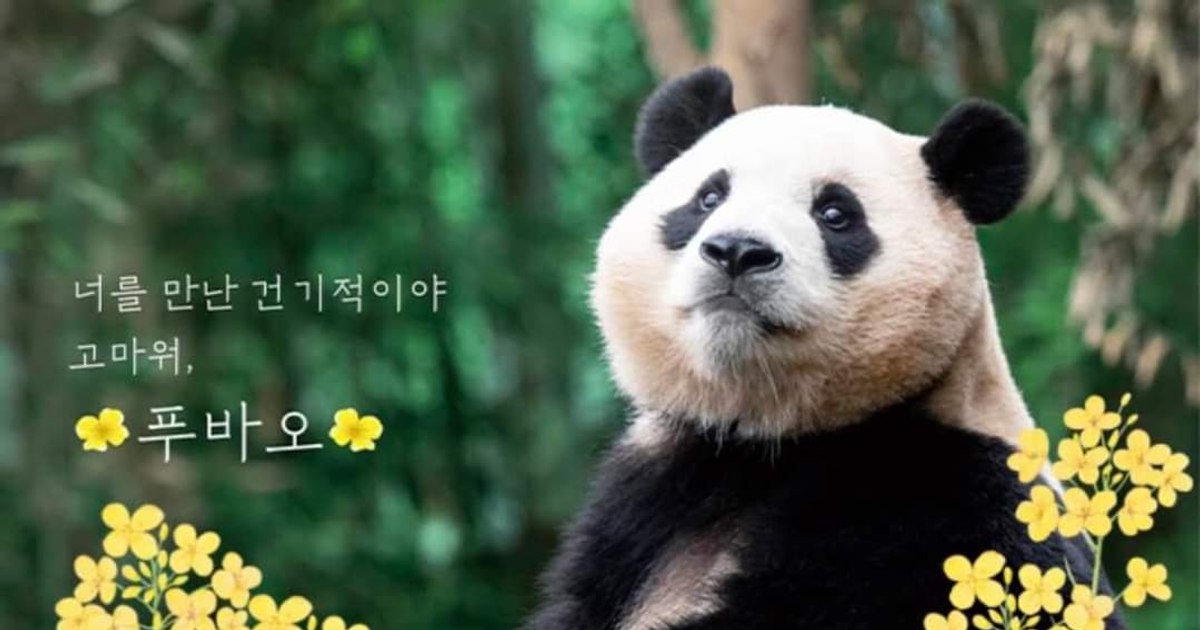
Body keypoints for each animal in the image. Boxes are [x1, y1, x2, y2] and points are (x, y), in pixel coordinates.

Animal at [526, 67, 1123, 630]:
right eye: (709, 197)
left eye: (835, 214)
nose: (737, 251)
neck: (767, 437)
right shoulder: (645, 495)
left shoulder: (947, 498)